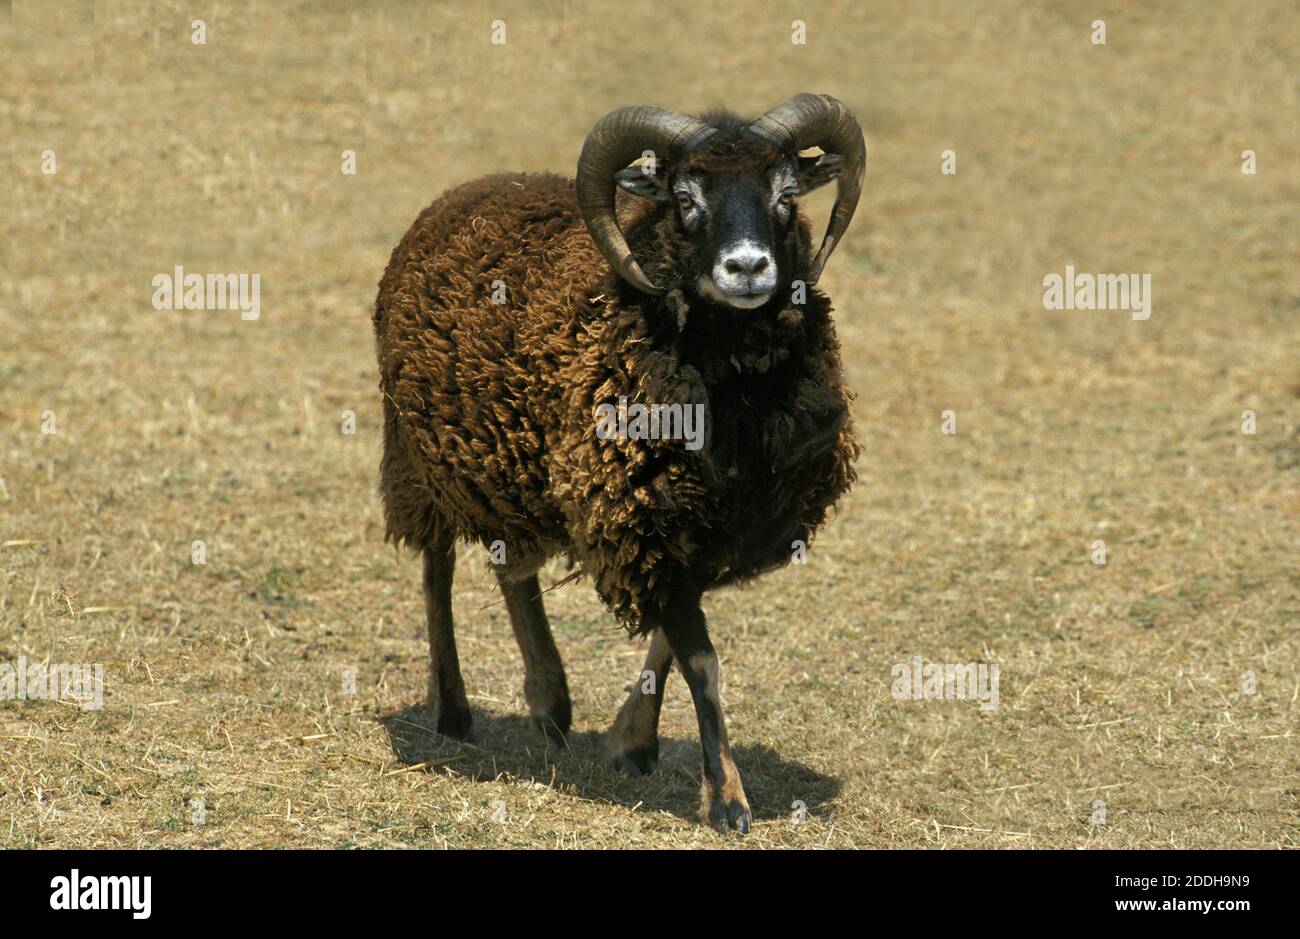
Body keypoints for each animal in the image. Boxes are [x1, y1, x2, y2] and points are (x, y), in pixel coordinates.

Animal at [373, 93, 865, 832]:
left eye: (785, 197)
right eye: (686, 200)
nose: (748, 268)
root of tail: (460, 194)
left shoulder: (703, 525)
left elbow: (669, 641)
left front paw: (633, 741)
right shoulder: (642, 517)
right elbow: (701, 660)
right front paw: (729, 800)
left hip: (515, 468)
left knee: (512, 569)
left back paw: (550, 702)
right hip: (425, 461)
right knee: (438, 572)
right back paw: (454, 709)